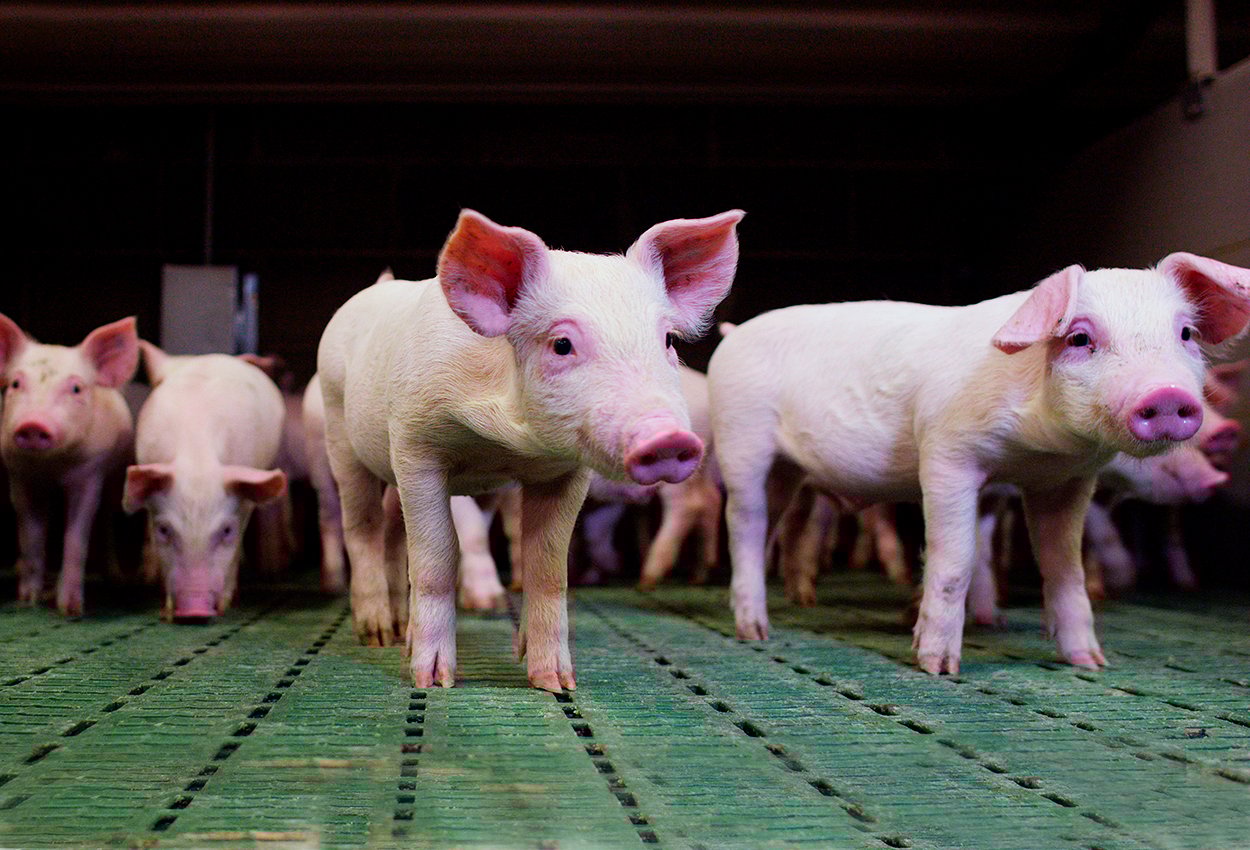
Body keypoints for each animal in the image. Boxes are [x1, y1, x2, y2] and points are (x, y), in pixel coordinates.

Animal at [0, 314, 139, 615]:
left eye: (76, 388)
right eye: (15, 383)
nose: (33, 424)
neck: (51, 467)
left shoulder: (90, 474)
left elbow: (76, 538)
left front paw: (71, 609)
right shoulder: (21, 477)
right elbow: (31, 537)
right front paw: (29, 600)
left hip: (114, 480)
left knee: (104, 522)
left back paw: (116, 578)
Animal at [123, 344, 288, 620]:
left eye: (227, 530)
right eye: (164, 529)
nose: (195, 610)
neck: (196, 462)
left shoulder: (244, 500)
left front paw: (228, 604)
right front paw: (164, 610)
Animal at [318, 208, 742, 690]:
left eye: (668, 340)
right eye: (562, 344)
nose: (668, 437)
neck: (501, 446)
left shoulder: (566, 471)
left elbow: (549, 565)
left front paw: (555, 682)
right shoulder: (414, 445)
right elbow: (436, 554)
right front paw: (434, 681)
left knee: (391, 529)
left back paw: (398, 633)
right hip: (339, 433)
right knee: (362, 527)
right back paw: (376, 637)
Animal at [709, 253, 1250, 674]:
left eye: (1185, 333)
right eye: (1079, 338)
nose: (1167, 395)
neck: (1033, 451)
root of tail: (735, 334)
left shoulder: (1067, 481)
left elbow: (1065, 567)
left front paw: (1090, 663)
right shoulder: (947, 454)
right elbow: (956, 559)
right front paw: (937, 666)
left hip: (788, 471)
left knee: (771, 524)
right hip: (742, 439)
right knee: (743, 524)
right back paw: (755, 632)